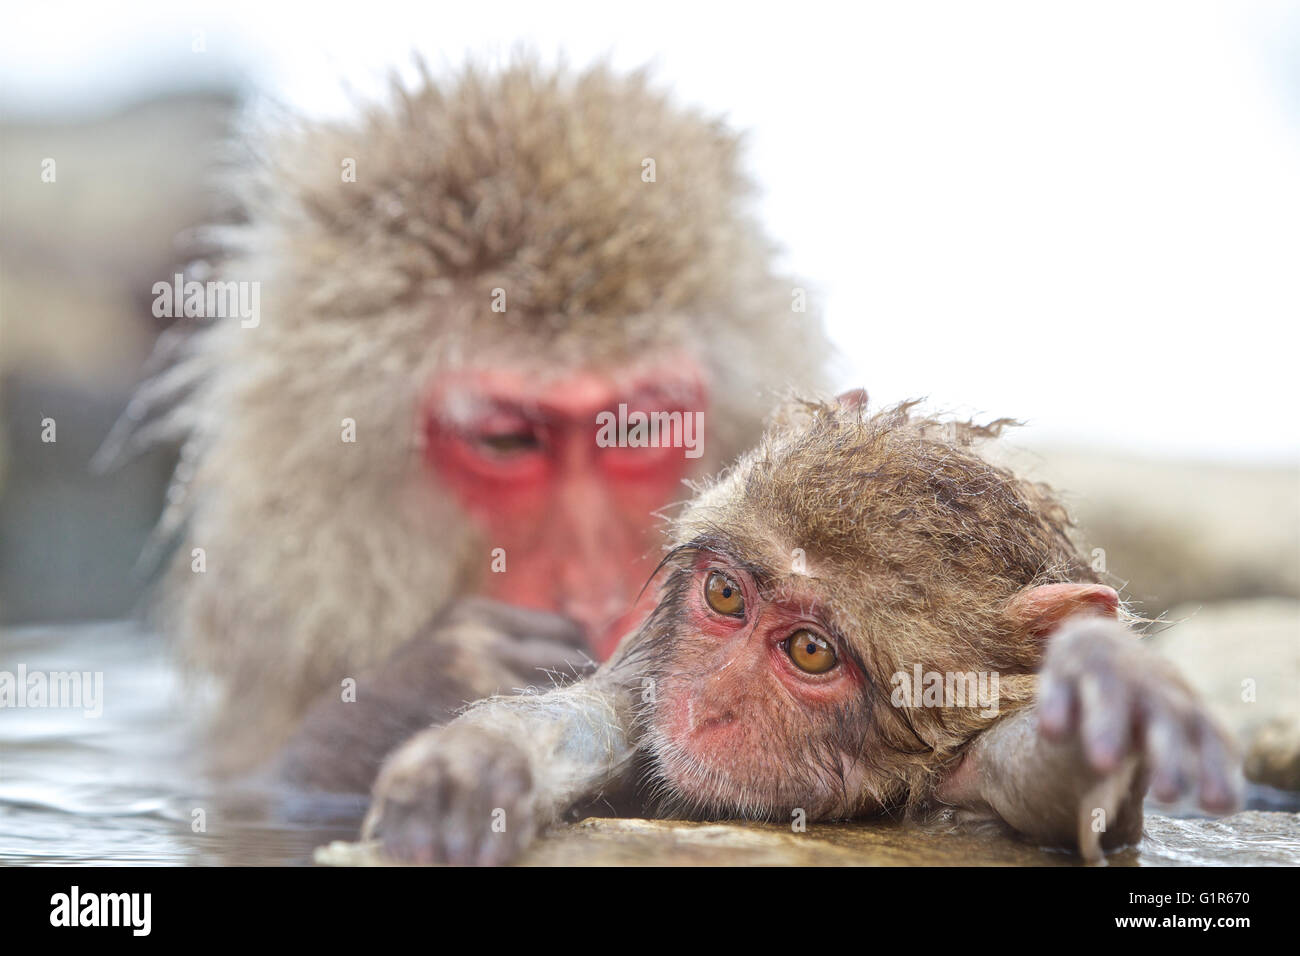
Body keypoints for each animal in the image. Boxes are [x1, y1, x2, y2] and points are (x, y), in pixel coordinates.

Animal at [361, 394, 1243, 864]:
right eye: (725, 595)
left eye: (811, 650)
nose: (706, 706)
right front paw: (474, 763)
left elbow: (1056, 793)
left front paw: (1109, 679)